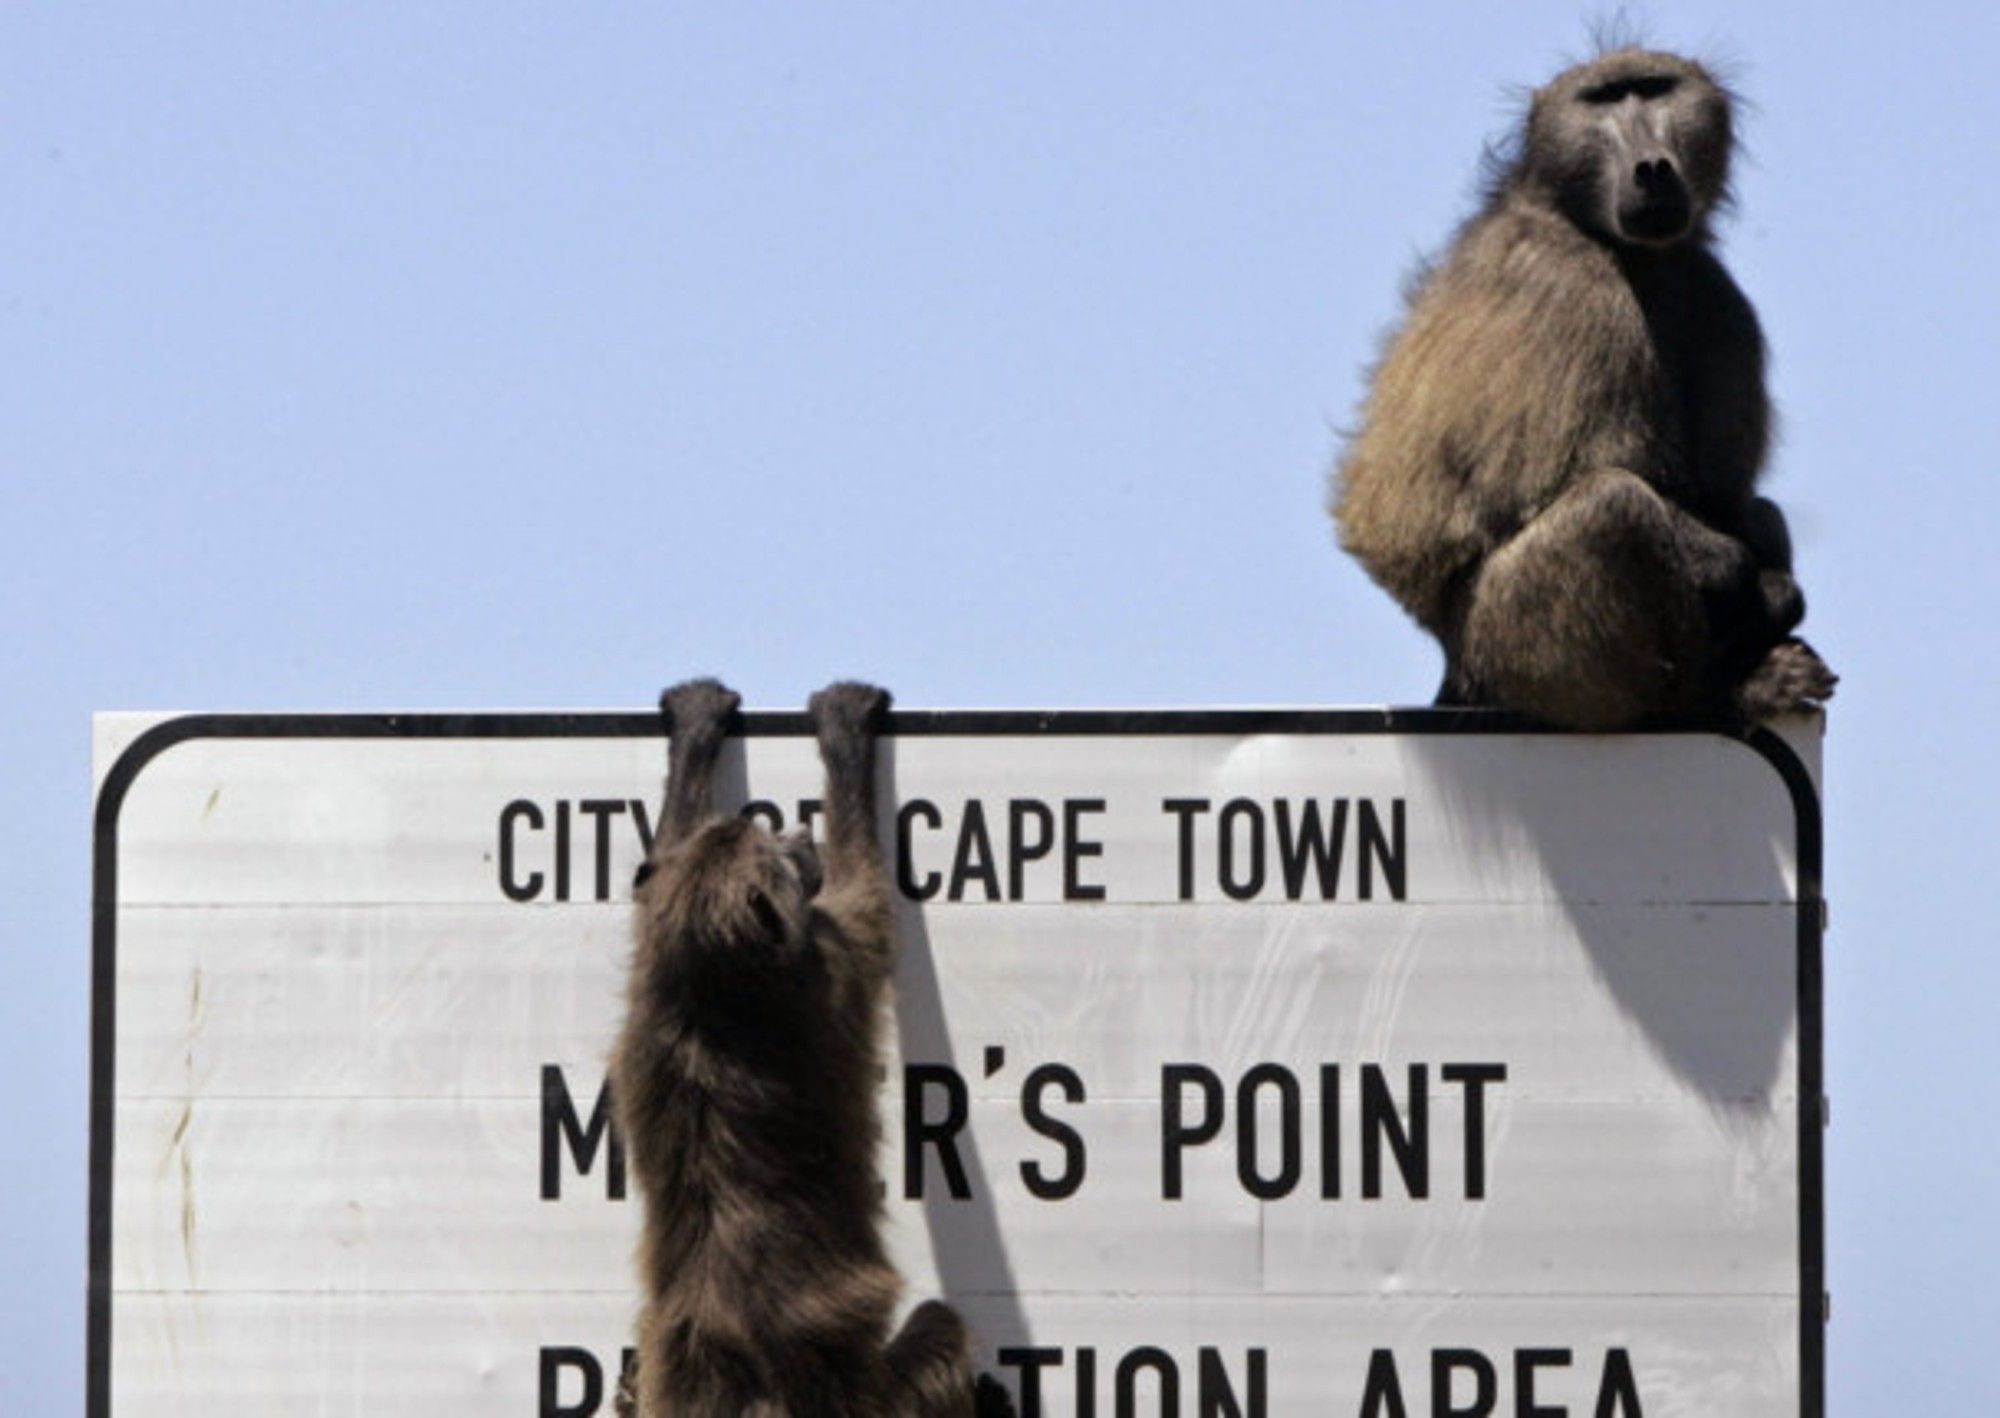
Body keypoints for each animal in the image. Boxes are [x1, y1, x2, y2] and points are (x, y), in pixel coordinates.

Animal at [611, 678, 999, 1418]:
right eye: (781, 855)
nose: (796, 833)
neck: (716, 996)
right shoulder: (827, 965)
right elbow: (869, 904)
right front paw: (845, 736)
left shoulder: (654, 974)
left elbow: (660, 868)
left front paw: (695, 730)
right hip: (876, 1398)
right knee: (940, 1330)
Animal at [1332, 47, 1836, 730]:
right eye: (1604, 101)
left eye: (1654, 90)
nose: (1652, 167)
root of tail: (1454, 666)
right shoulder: (1578, 295)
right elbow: (1594, 476)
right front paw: (1763, 592)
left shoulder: (1722, 301)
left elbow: (1730, 500)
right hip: (1513, 647)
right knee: (1610, 510)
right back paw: (1719, 691)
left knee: (1757, 511)